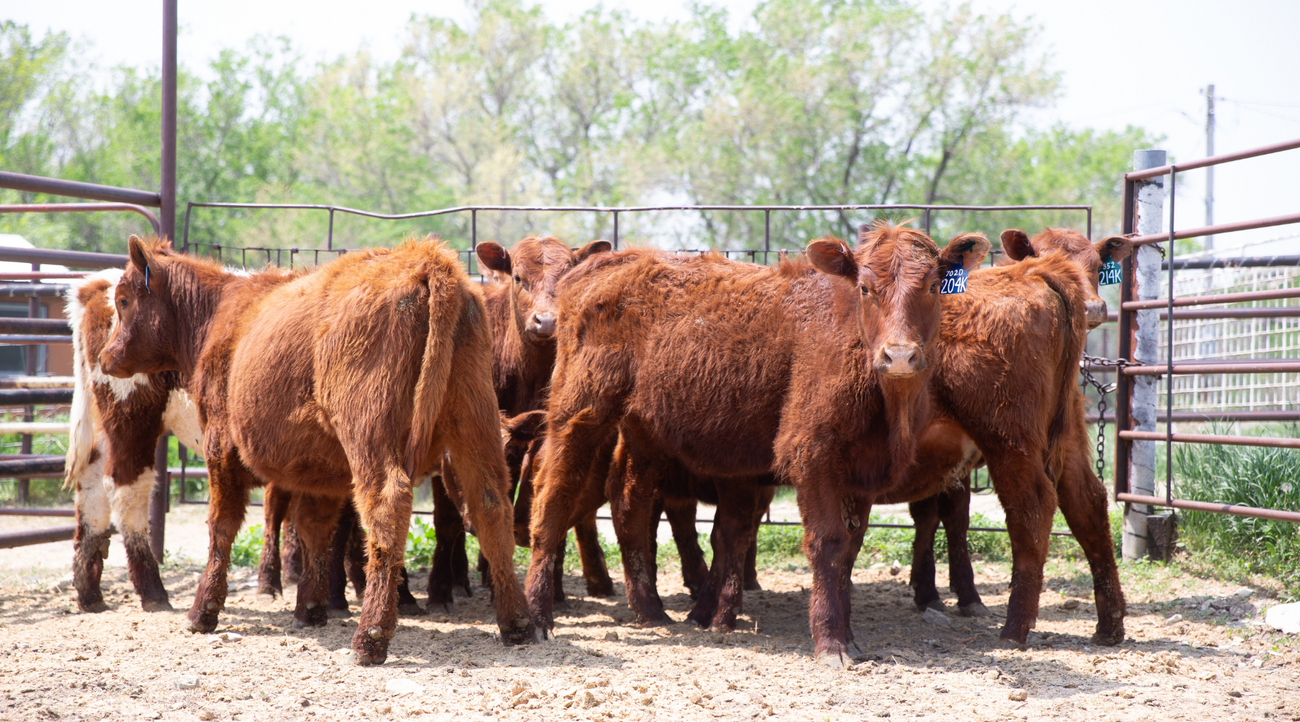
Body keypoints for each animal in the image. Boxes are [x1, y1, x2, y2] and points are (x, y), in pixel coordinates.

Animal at [98, 235, 535, 664]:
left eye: (123, 299)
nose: (105, 357)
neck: (219, 314)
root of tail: (426, 261)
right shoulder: (319, 468)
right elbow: (314, 529)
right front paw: (310, 608)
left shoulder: (220, 446)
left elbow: (222, 525)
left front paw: (202, 611)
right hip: (475, 424)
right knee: (491, 504)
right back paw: (517, 623)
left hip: (371, 435)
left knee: (387, 507)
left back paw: (371, 637)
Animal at [525, 221, 989, 667]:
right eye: (865, 288)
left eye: (933, 285)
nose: (899, 355)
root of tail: (612, 262)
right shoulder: (812, 455)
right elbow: (827, 543)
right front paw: (831, 640)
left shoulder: (863, 474)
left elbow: (849, 551)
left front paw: (849, 637)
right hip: (579, 413)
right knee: (553, 500)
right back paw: (538, 615)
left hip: (645, 431)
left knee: (629, 506)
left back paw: (651, 610)